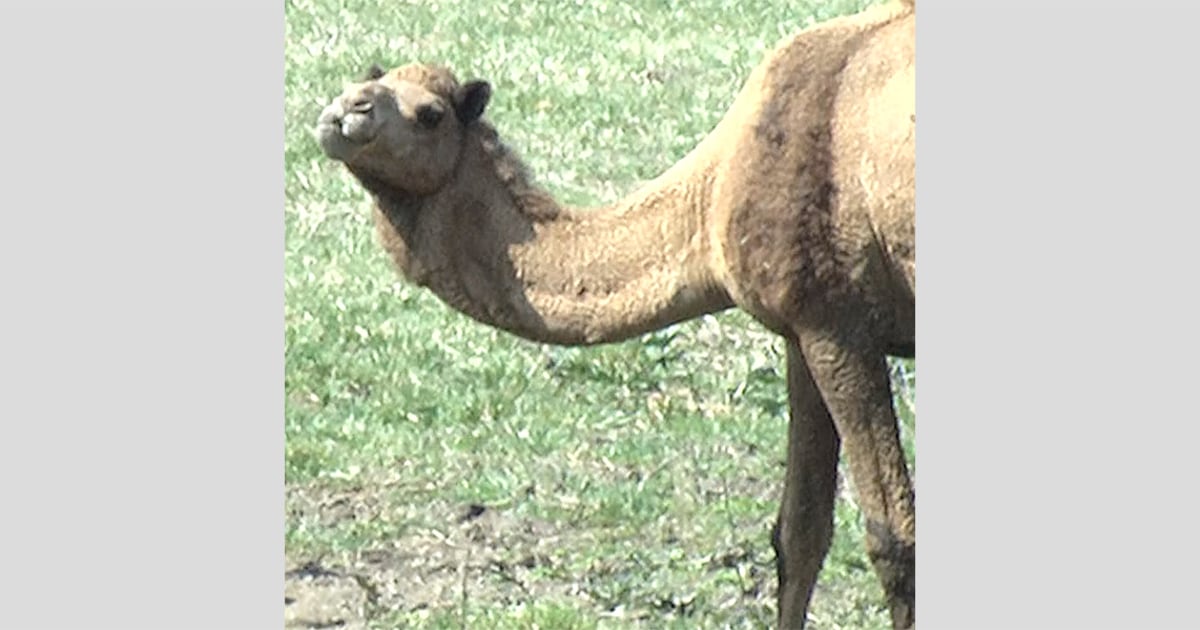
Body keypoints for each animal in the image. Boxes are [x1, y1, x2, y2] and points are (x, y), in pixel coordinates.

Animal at [313, 0, 915, 627]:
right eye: (366, 83)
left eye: (429, 114)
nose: (344, 111)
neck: (711, 196)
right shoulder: (799, 327)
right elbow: (800, 533)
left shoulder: (839, 323)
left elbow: (893, 536)